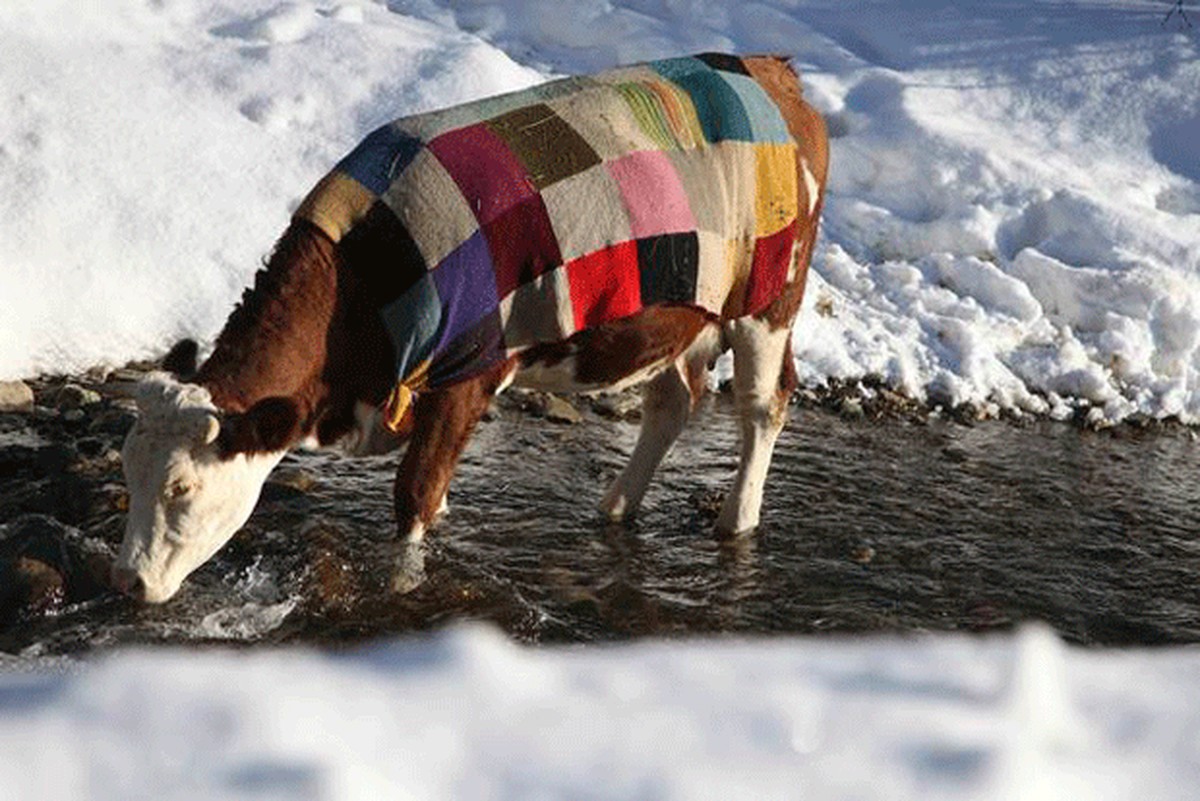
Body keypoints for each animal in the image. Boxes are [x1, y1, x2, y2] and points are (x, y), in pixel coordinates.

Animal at [113, 53, 828, 603]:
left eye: (181, 487)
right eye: (126, 468)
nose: (126, 582)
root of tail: (774, 71)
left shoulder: (472, 369)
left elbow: (414, 497)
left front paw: (403, 586)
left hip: (769, 296)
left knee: (762, 404)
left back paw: (735, 522)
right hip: (678, 319)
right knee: (673, 402)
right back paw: (617, 507)